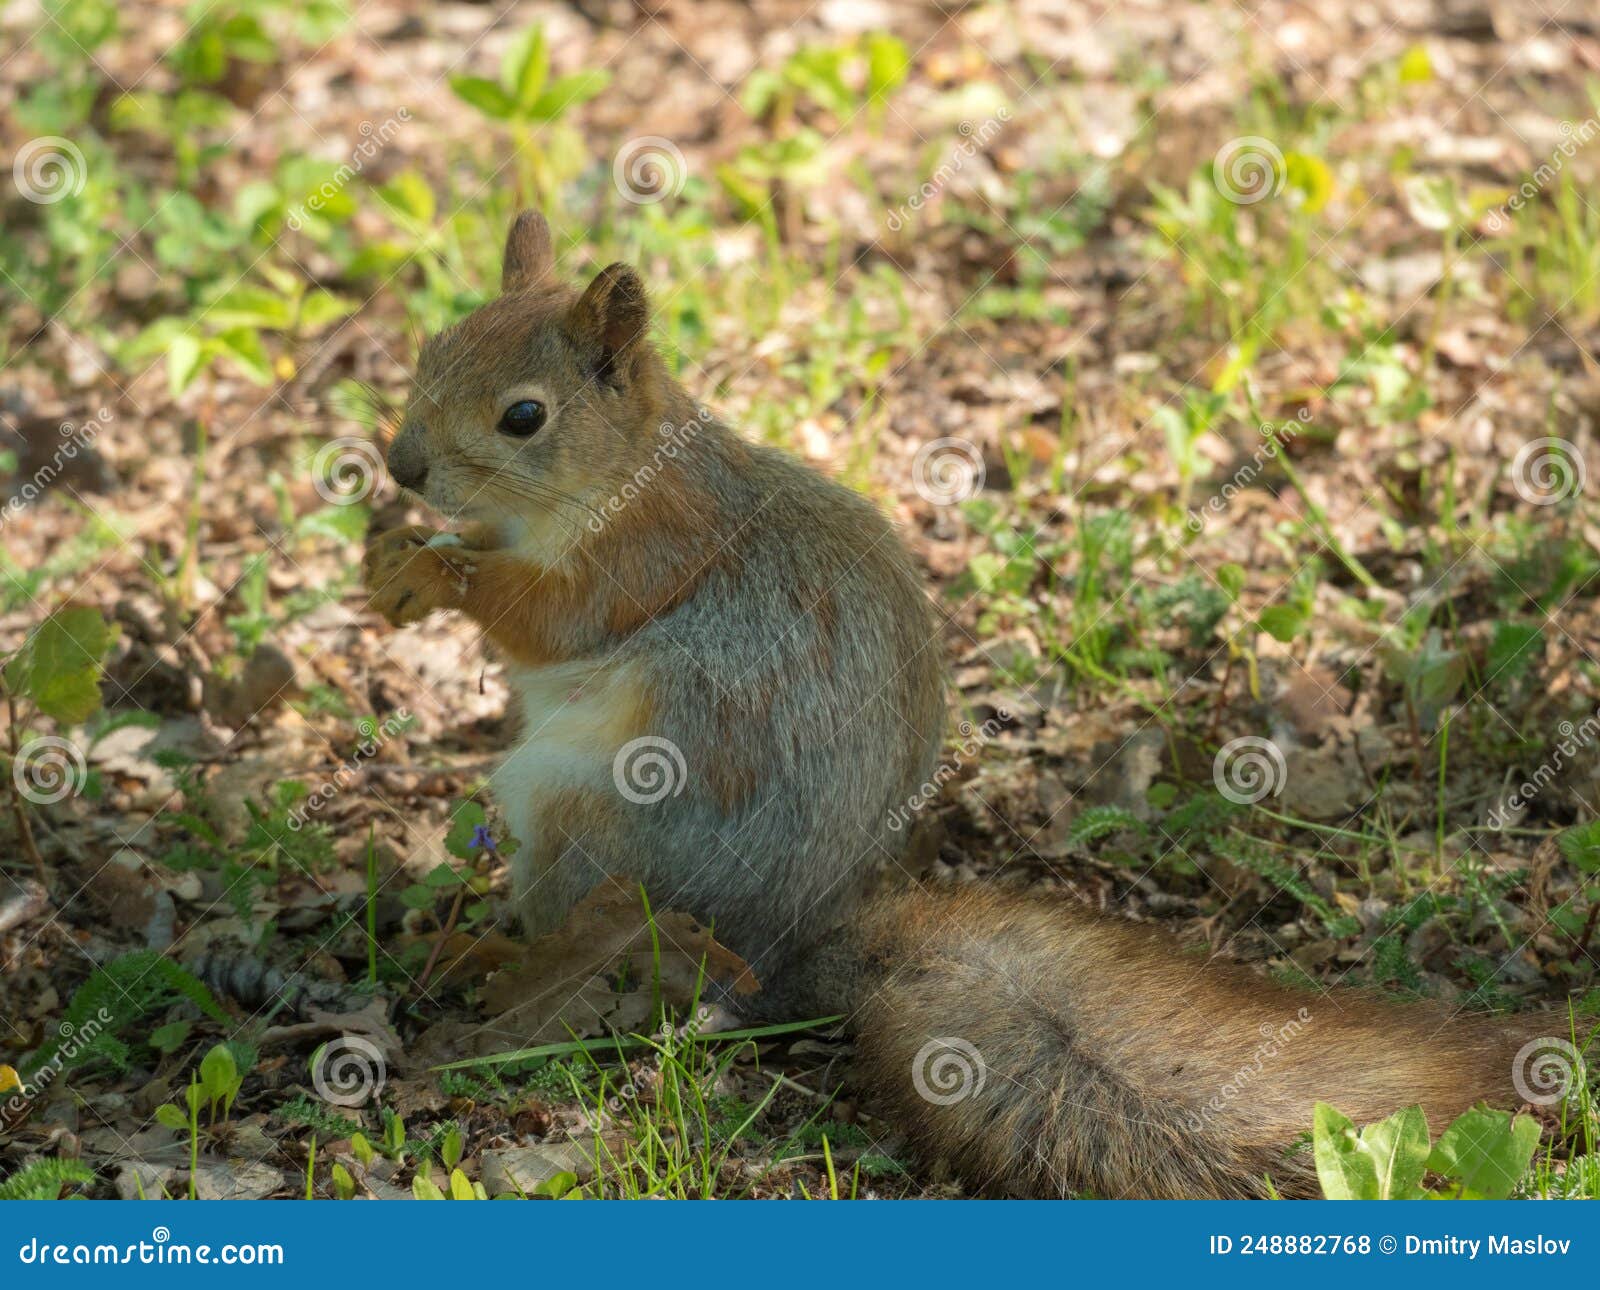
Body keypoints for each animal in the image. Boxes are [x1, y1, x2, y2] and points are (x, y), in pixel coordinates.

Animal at [362, 211, 1555, 1198]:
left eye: (525, 417)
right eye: (429, 350)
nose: (403, 465)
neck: (615, 474)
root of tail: (797, 938)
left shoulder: (641, 554)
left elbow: (546, 618)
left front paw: (434, 575)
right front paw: (392, 555)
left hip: (589, 817)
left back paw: (486, 960)